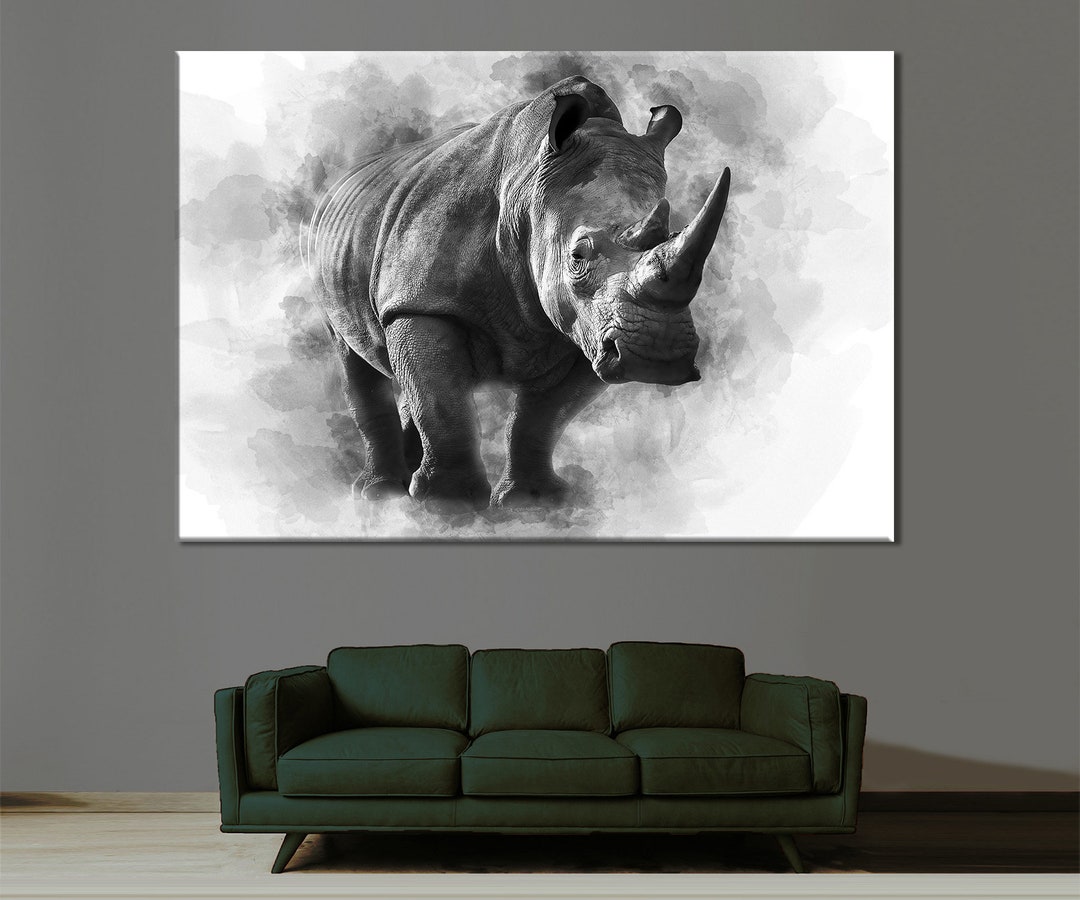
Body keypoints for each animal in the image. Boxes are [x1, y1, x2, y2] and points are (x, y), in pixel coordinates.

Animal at [304, 75, 730, 509]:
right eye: (577, 256)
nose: (658, 355)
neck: (525, 190)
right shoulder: (422, 304)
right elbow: (444, 404)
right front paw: (449, 505)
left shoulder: (589, 332)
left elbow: (542, 418)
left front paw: (532, 502)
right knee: (351, 354)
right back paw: (380, 493)